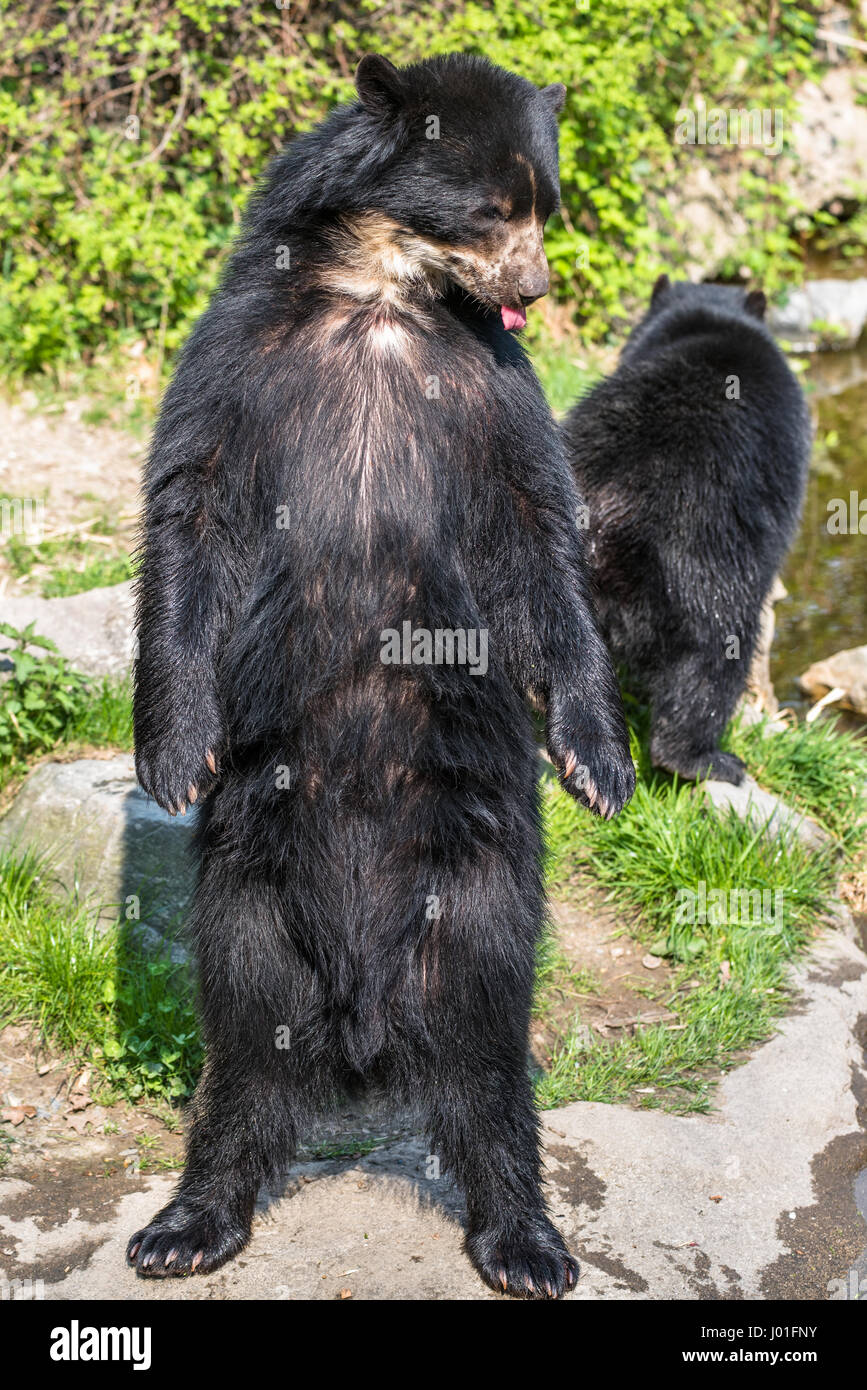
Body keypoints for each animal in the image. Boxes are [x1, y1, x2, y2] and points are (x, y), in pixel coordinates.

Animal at [126, 53, 635, 1299]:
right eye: (497, 209)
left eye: (546, 205)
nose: (537, 288)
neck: (380, 297)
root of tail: (361, 1020)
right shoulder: (241, 358)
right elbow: (187, 509)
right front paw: (172, 755)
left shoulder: (492, 389)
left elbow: (541, 529)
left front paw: (598, 763)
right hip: (250, 882)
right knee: (242, 1046)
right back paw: (189, 1221)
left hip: (479, 880)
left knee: (492, 1060)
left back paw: (525, 1238)